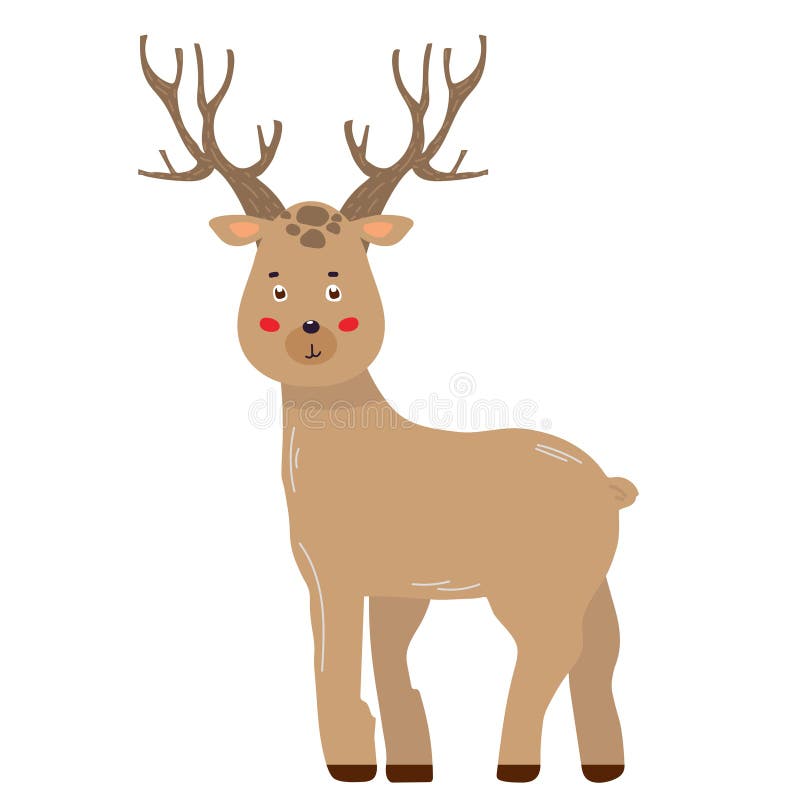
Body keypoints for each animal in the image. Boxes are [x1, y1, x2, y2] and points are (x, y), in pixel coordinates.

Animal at [138, 33, 637, 785]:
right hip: (594, 577)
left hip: (534, 578)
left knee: (550, 650)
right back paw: (602, 767)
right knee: (600, 653)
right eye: (271, 273)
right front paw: (409, 769)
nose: (308, 329)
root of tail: (611, 487)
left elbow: (336, 663)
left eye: (341, 277)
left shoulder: (336, 567)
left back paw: (514, 766)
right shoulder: (392, 584)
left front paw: (349, 765)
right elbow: (389, 668)